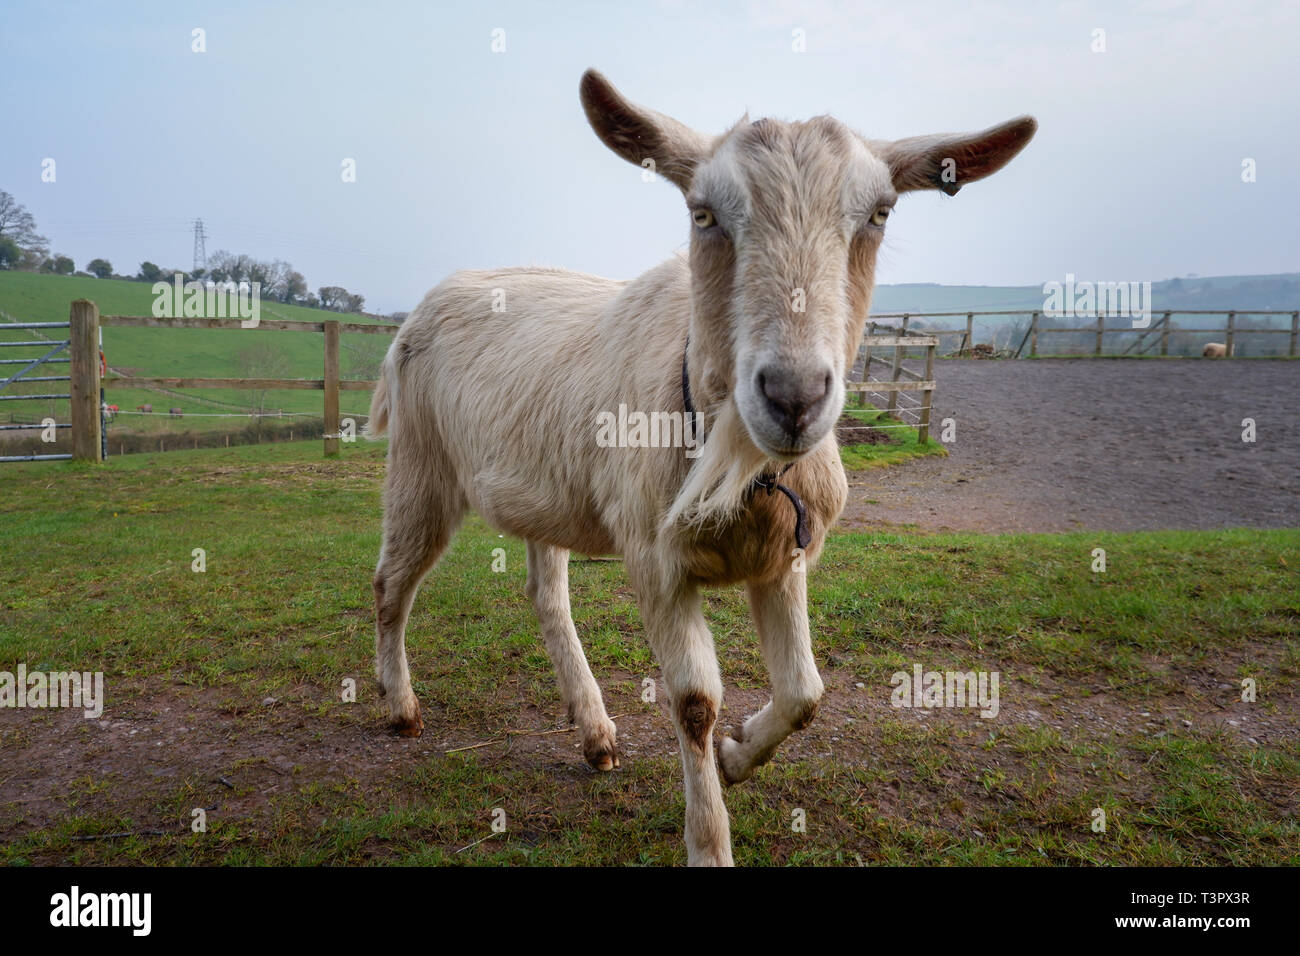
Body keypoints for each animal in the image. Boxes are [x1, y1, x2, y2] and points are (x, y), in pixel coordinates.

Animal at [365, 69, 1036, 865]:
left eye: (879, 213)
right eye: (703, 213)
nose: (793, 395)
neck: (739, 467)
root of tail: (423, 304)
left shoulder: (786, 555)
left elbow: (806, 691)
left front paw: (739, 754)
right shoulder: (655, 557)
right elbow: (693, 702)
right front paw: (710, 839)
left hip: (543, 486)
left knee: (546, 594)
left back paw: (593, 731)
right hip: (421, 462)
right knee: (392, 581)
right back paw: (401, 706)